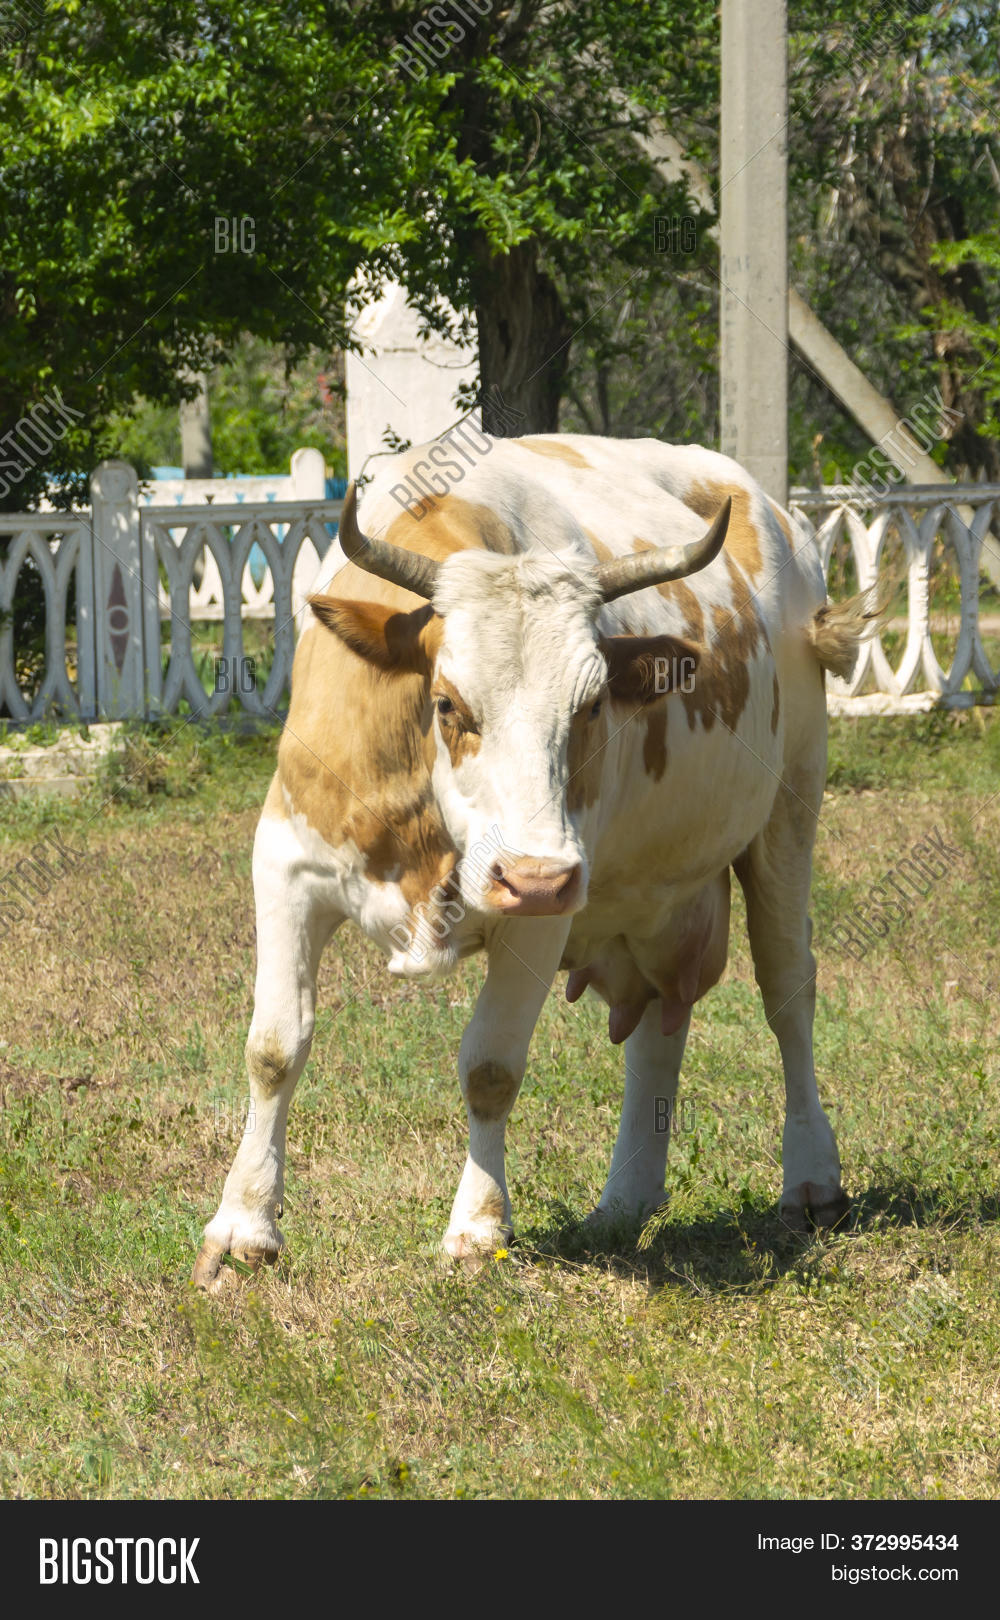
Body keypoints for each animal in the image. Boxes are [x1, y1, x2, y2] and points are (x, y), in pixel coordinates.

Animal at [193, 433, 869, 1290]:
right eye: (448, 703)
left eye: (592, 705)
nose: (537, 876)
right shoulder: (286, 865)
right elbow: (275, 1047)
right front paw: (244, 1224)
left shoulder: (542, 913)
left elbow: (491, 1067)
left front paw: (479, 1226)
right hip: (648, 894)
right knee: (660, 1021)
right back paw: (625, 1200)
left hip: (788, 812)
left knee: (788, 991)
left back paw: (811, 1177)